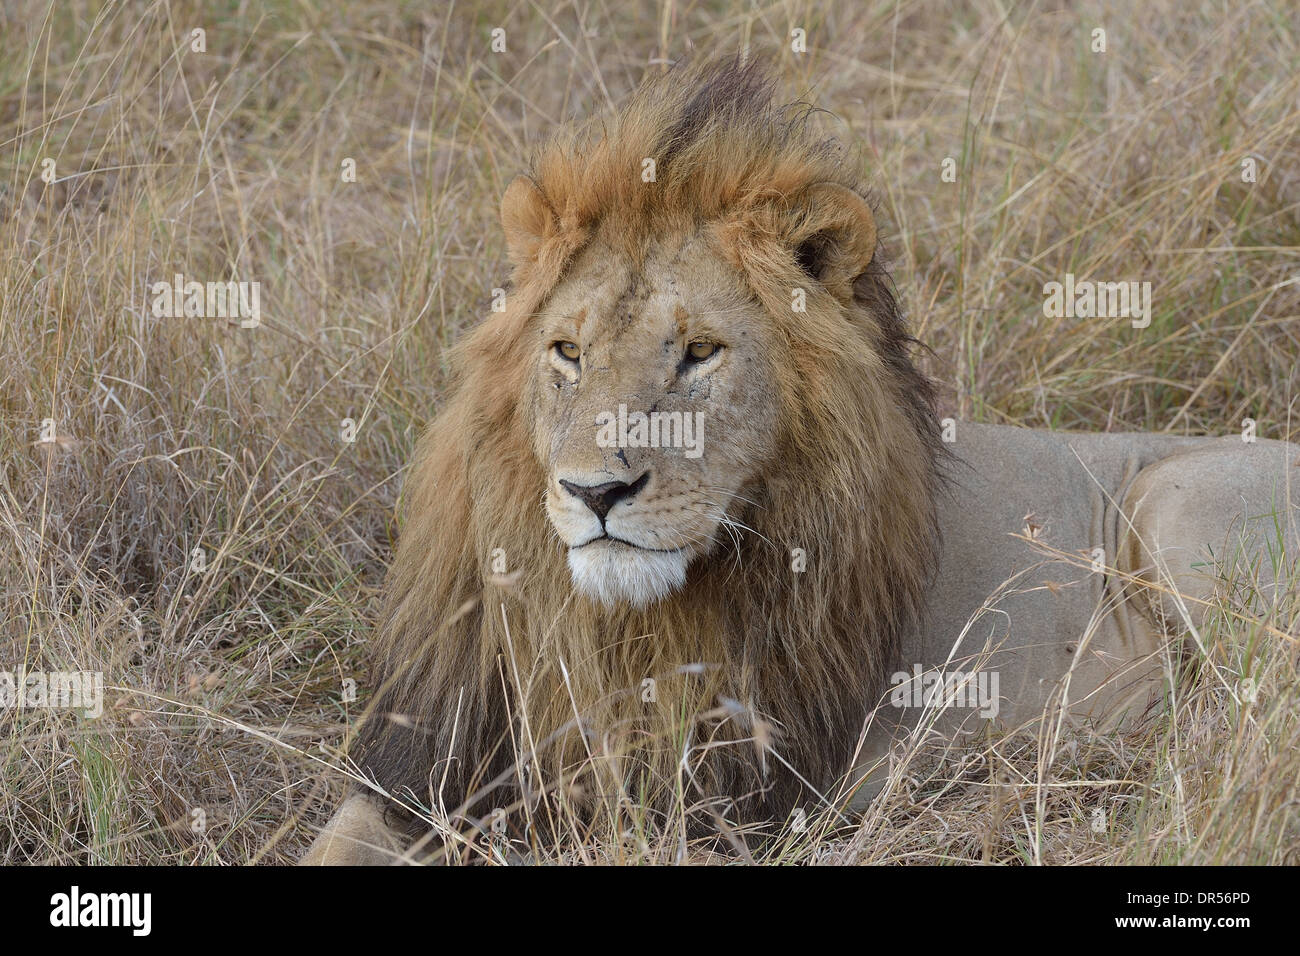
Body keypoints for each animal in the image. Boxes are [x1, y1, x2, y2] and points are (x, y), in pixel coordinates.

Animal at [301, 59, 1300, 864]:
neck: (611, 624)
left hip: (1177, 498)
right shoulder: (434, 764)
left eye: (700, 353)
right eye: (568, 353)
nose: (596, 491)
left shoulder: (720, 793)